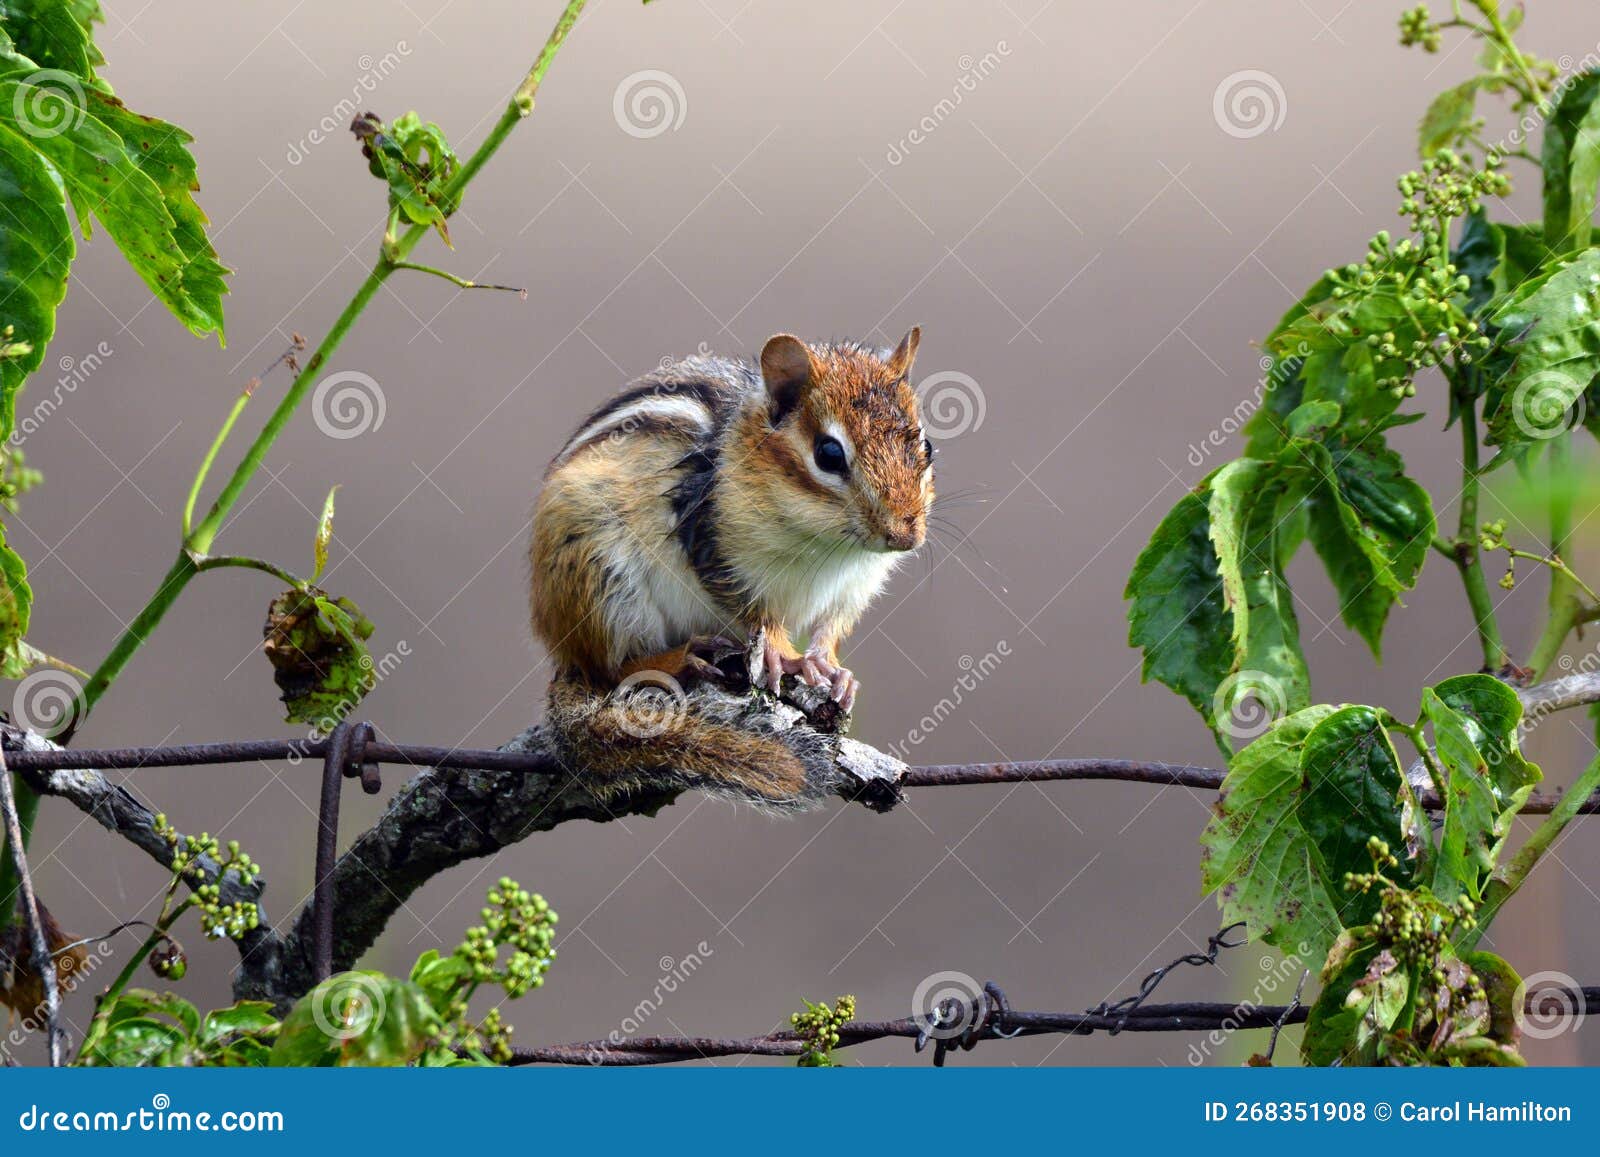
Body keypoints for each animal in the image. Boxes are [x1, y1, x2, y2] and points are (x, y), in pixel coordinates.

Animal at [530, 328, 933, 805]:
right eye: (829, 454)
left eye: (927, 445)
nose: (905, 536)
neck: (827, 544)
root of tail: (562, 651)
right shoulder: (708, 539)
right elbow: (750, 606)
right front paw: (784, 655)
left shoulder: (856, 584)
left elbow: (832, 625)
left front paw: (833, 670)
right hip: (602, 581)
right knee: (608, 669)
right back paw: (685, 656)